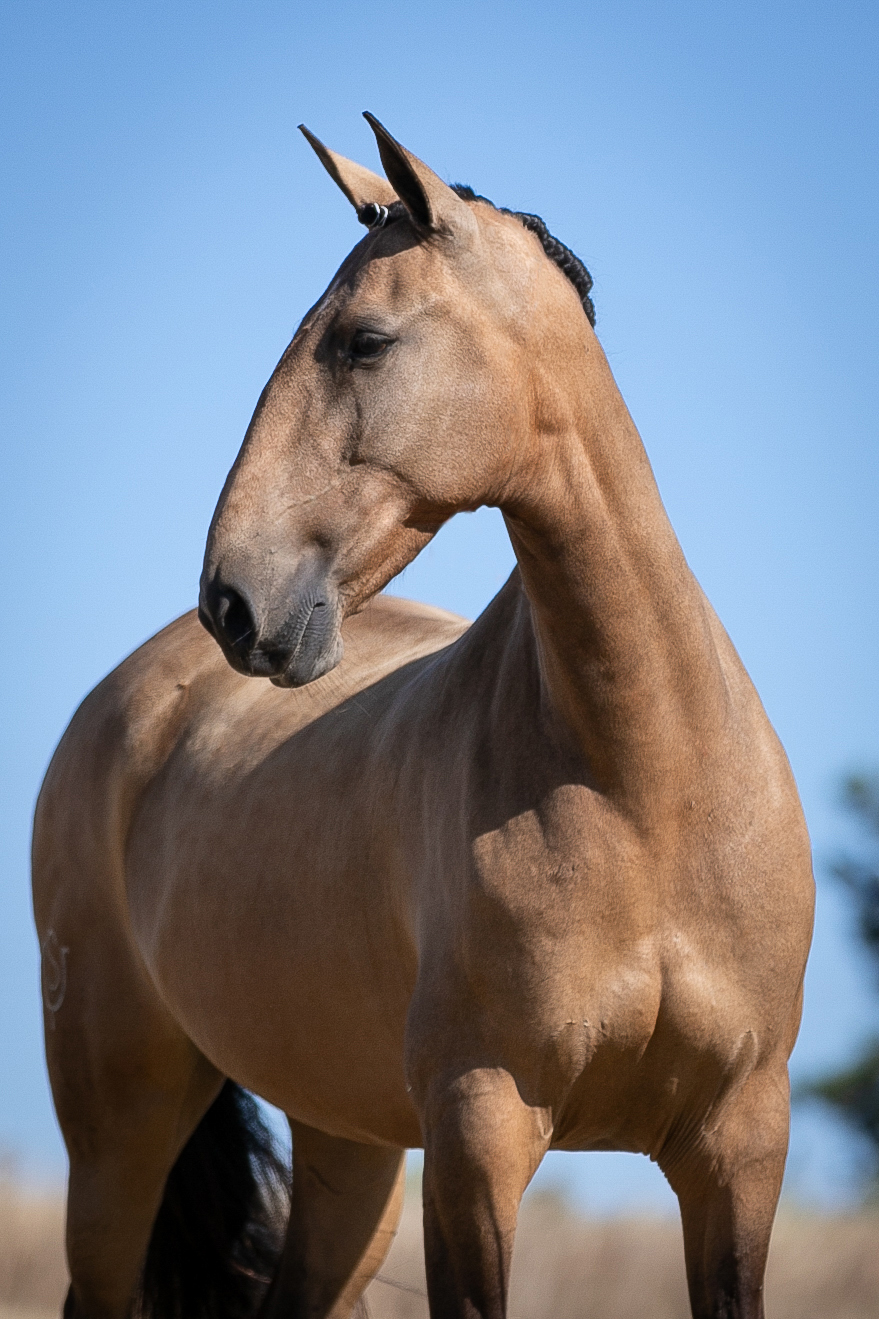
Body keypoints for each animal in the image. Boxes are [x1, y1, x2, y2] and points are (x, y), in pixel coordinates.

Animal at [33, 115, 814, 1319]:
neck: (647, 784)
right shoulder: (477, 1131)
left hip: (347, 1147)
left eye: (362, 340)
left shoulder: (739, 1146)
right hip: (121, 1131)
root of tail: (129, 693)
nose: (233, 602)